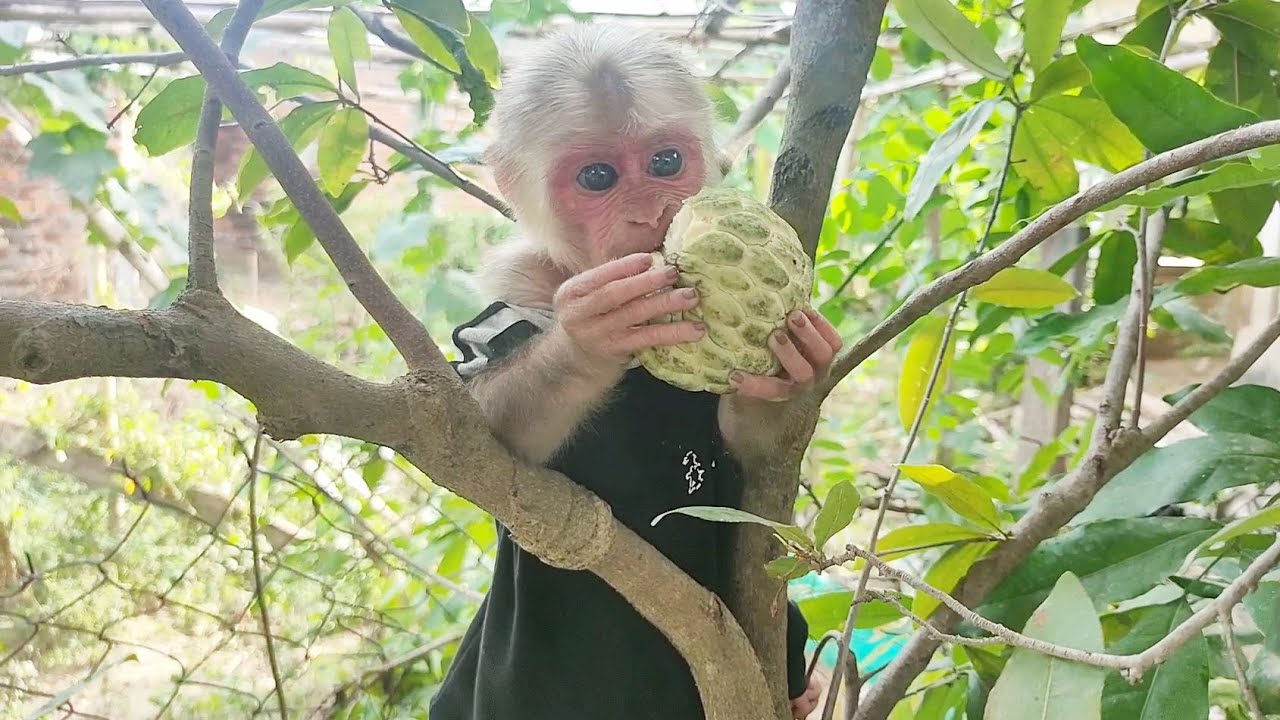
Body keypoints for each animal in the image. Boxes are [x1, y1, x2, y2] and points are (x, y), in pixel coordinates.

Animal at [430, 23, 839, 720]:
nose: (650, 213)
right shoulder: (514, 291)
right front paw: (585, 340)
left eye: (665, 163)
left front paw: (776, 397)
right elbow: (476, 439)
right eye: (598, 177)